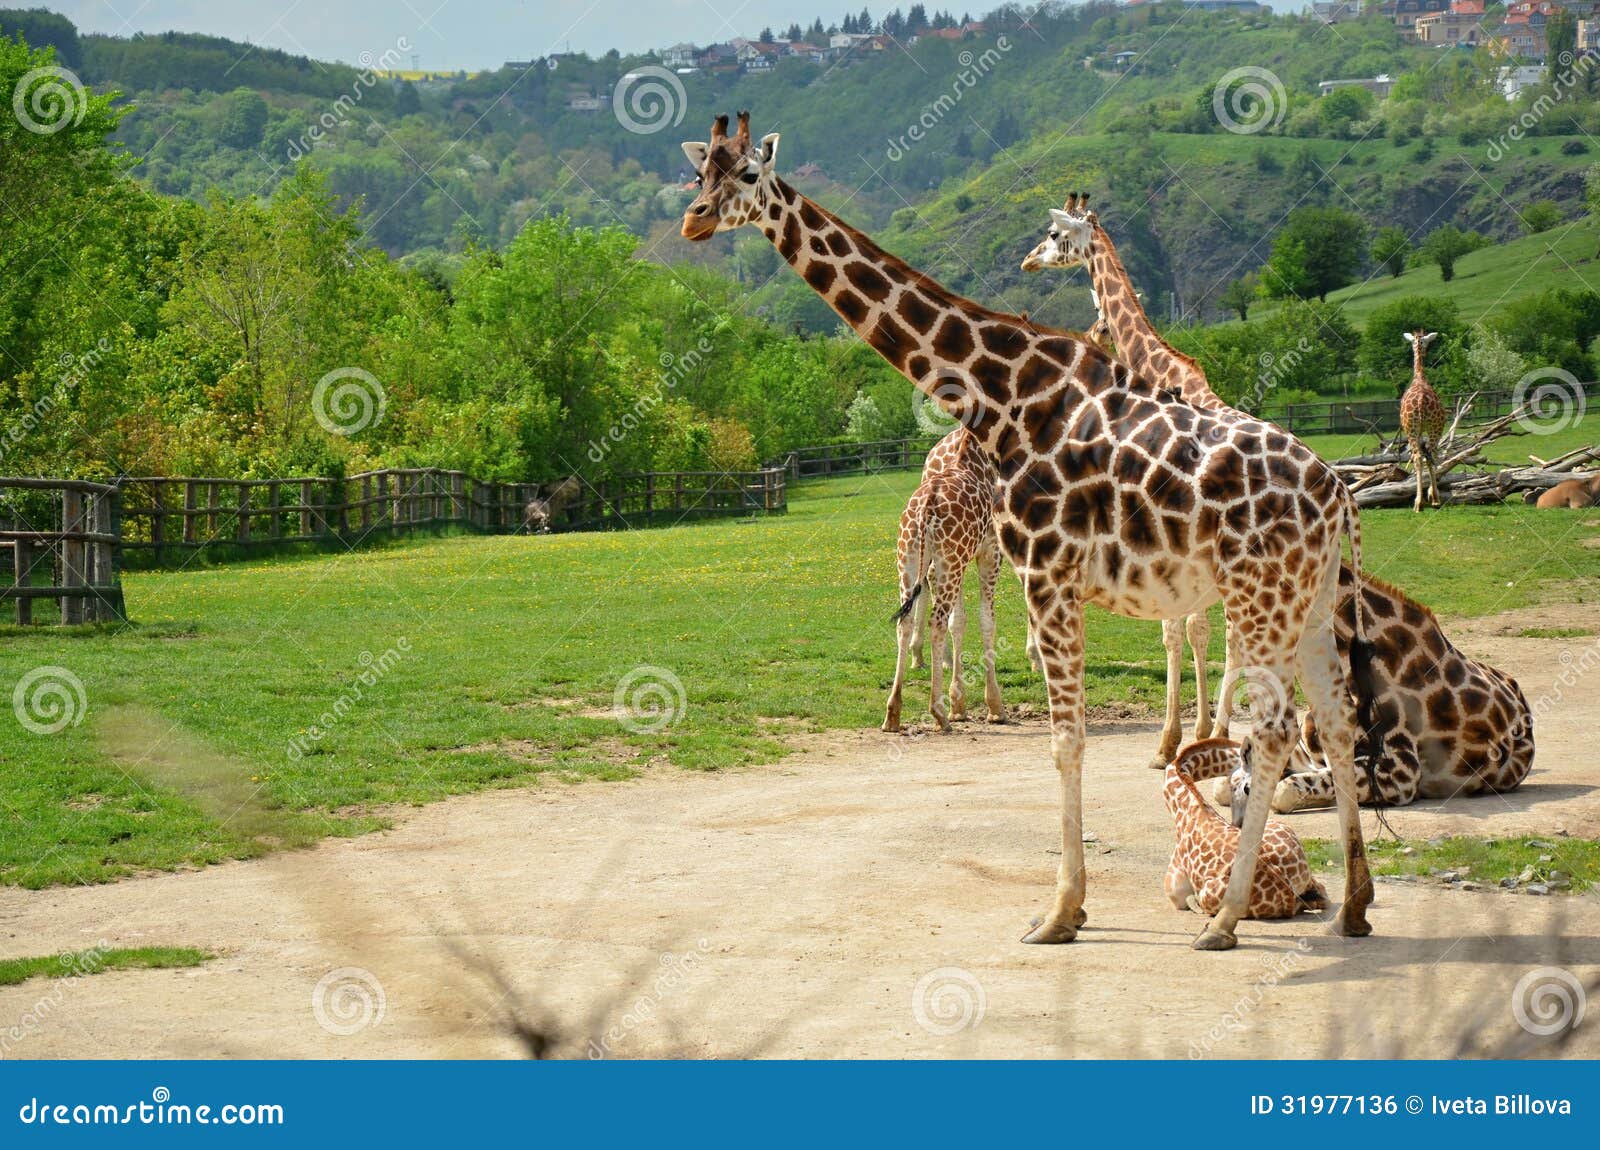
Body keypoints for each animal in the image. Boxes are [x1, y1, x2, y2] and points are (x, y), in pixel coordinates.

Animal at [884, 432, 1006, 732]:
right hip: (948, 563)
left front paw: (959, 705)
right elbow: (986, 621)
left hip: (909, 561)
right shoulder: (990, 553)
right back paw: (937, 712)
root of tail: (926, 510)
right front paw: (994, 707)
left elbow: (959, 621)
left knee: (905, 621)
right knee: (936, 621)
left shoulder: (960, 560)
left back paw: (893, 713)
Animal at [1020, 193, 1231, 768]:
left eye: (1053, 234)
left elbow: (1179, 632)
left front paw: (1171, 741)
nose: (1027, 261)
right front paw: (1197, 731)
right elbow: (1193, 631)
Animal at [1164, 739, 1326, 919]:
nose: (1241, 823)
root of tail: (1286, 890)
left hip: (1211, 898)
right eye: (1248, 788)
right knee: (1322, 895)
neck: (1183, 807)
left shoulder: (1175, 889)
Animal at [1400, 330, 1446, 512]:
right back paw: (1433, 499)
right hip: (1433, 427)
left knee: (1421, 456)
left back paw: (1419, 502)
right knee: (1429, 454)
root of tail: (1420, 401)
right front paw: (1431, 495)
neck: (1419, 376)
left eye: (1426, 342)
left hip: (1414, 428)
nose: (1425, 351)